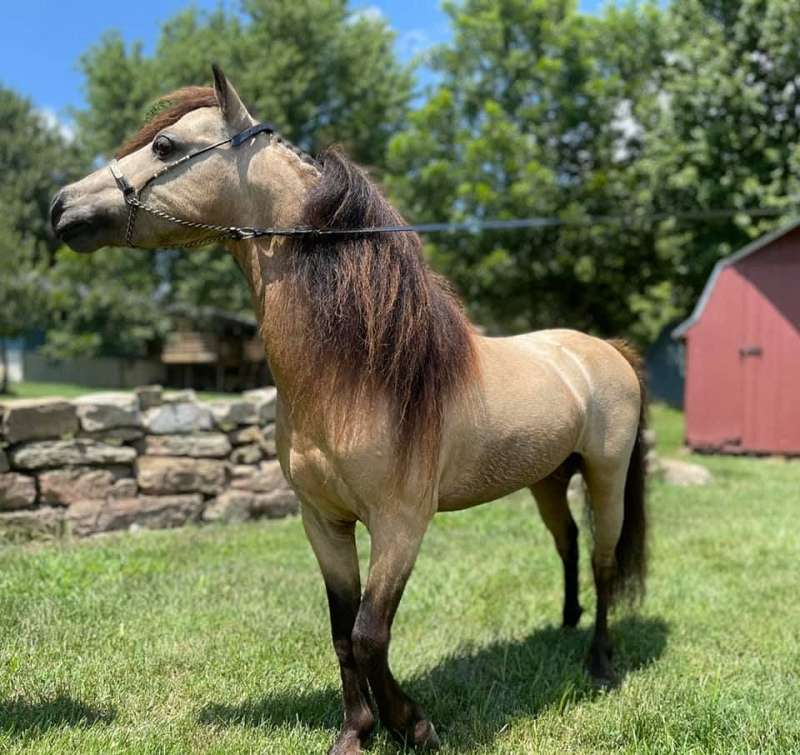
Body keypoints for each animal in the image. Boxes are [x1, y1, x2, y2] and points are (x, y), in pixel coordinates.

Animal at [51, 66, 648, 754]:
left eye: (166, 145)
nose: (61, 205)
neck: (356, 377)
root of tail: (604, 350)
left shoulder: (400, 526)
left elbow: (370, 633)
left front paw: (413, 724)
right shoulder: (323, 522)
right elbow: (342, 632)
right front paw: (356, 732)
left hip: (605, 476)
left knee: (603, 560)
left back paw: (599, 662)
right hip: (547, 479)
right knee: (568, 544)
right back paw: (565, 624)